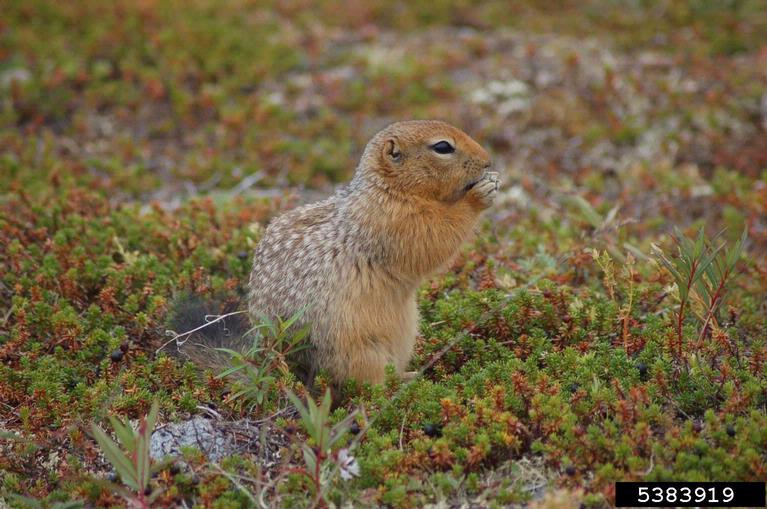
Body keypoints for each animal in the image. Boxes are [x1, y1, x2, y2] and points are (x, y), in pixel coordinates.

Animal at [169, 120, 498, 386]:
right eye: (442, 147)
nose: (488, 161)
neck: (386, 189)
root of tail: (267, 361)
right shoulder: (393, 221)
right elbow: (434, 237)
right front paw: (480, 195)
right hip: (358, 349)